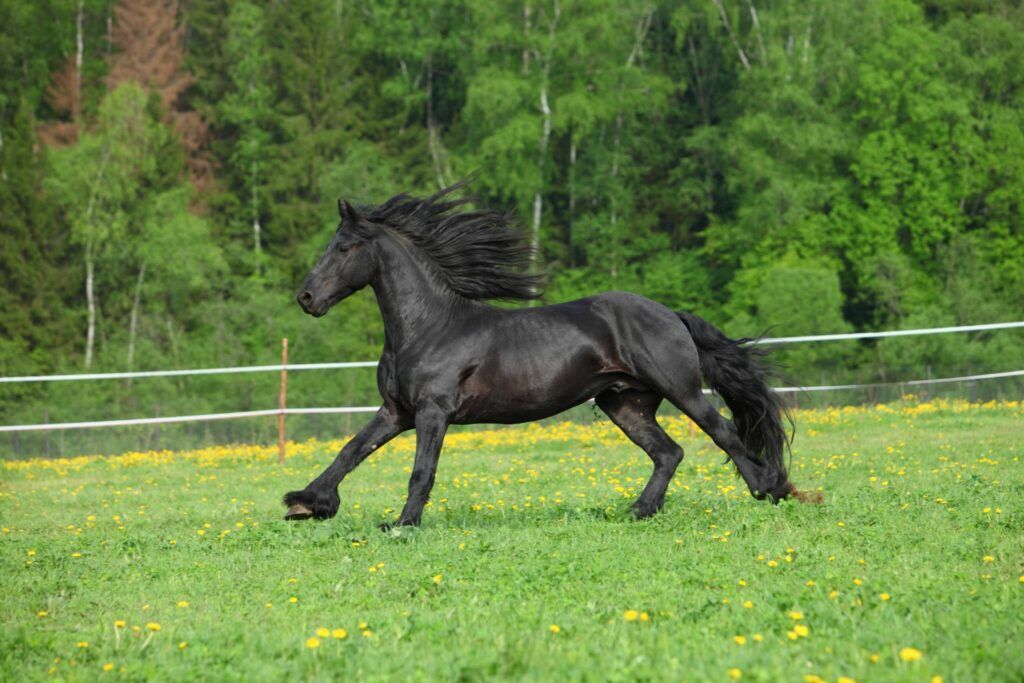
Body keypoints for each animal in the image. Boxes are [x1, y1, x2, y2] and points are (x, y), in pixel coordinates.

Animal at [284, 182, 812, 528]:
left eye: (345, 247)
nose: (306, 298)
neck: (428, 327)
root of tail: (671, 314)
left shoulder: (433, 411)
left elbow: (420, 471)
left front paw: (402, 524)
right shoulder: (397, 411)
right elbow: (350, 450)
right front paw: (307, 503)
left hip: (680, 388)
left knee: (722, 433)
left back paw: (772, 489)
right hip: (624, 403)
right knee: (669, 452)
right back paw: (639, 511)